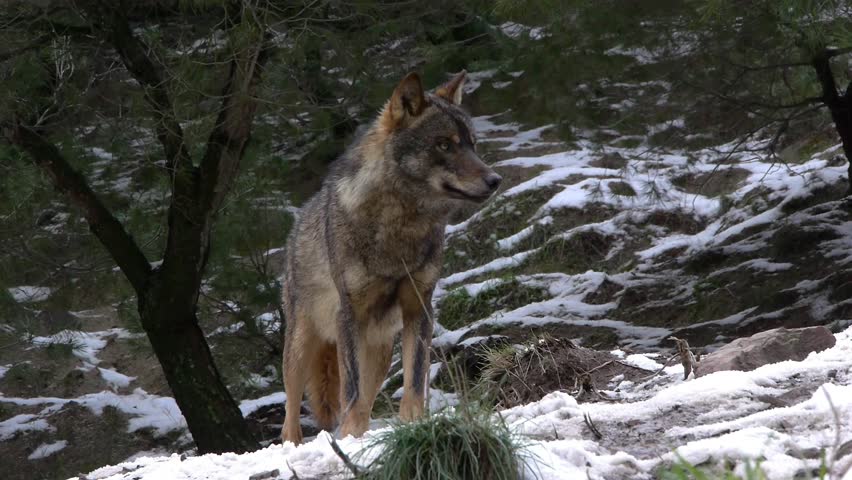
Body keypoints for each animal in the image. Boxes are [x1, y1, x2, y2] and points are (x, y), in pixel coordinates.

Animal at [280, 70, 502, 444]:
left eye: (472, 144)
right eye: (444, 144)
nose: (495, 180)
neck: (401, 226)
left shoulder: (419, 307)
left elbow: (413, 380)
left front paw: (414, 423)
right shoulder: (349, 315)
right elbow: (351, 392)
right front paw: (351, 438)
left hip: (381, 348)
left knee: (368, 399)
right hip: (300, 348)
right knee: (291, 416)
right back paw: (297, 444)